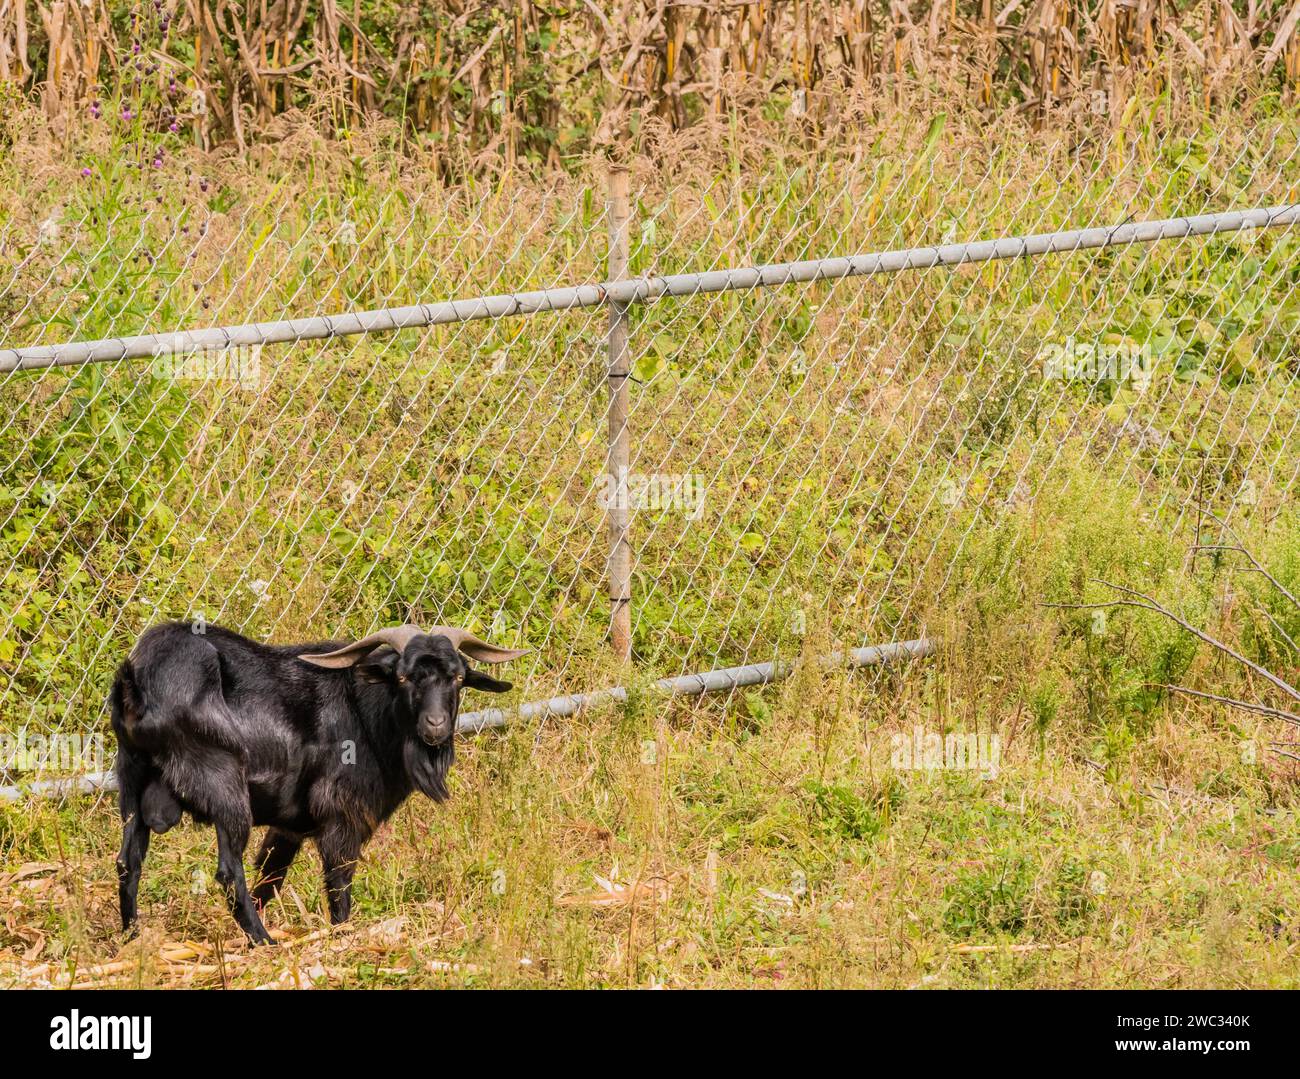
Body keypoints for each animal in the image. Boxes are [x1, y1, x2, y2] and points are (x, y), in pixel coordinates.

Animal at [109, 622, 526, 944]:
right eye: (403, 676)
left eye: (457, 676)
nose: (435, 725)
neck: (366, 713)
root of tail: (137, 682)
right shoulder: (342, 817)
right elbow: (338, 886)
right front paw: (342, 936)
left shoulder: (288, 828)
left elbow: (270, 879)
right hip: (224, 787)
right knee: (228, 872)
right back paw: (265, 943)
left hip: (130, 779)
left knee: (129, 862)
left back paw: (131, 940)